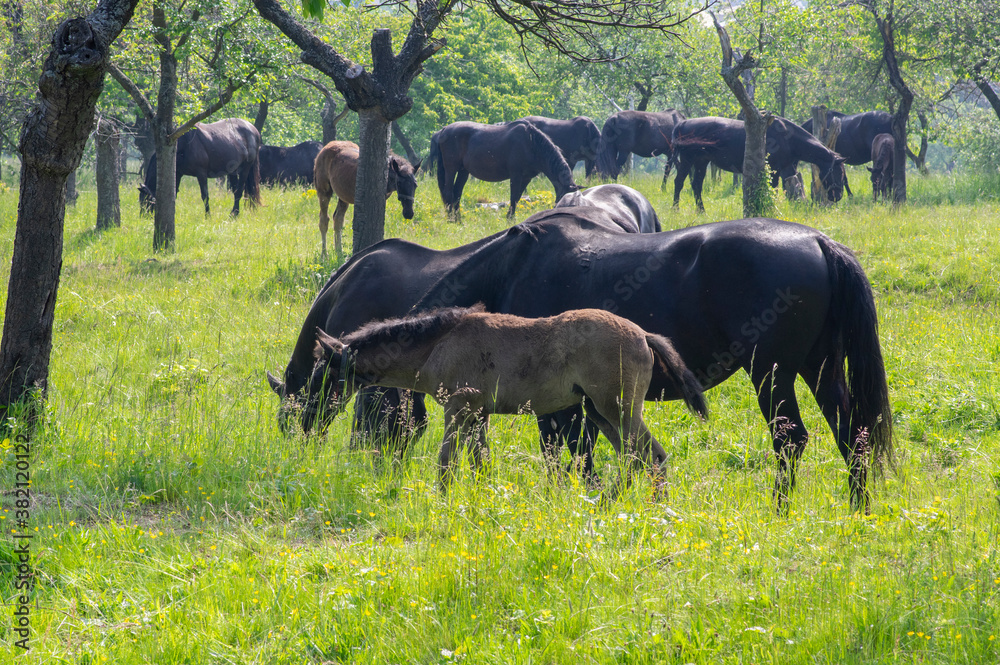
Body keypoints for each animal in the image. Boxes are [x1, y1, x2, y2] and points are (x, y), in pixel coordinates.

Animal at [305, 306, 707, 494]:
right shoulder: (478, 414)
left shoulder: (458, 409)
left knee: (650, 456)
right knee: (639, 457)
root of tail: (643, 334)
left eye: (324, 375)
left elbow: (447, 462)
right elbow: (480, 462)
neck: (438, 344)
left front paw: (442, 500)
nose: (309, 415)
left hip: (616, 408)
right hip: (599, 412)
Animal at [409, 210, 893, 514]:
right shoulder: (579, 403)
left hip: (772, 376)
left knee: (790, 440)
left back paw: (780, 510)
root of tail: (818, 240)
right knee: (852, 435)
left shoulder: (556, 405)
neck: (510, 270)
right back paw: (859, 508)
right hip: (820, 370)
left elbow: (567, 455)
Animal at [427, 120, 578, 220]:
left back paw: (459, 220)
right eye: (564, 199)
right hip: (451, 168)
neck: (532, 145)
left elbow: (517, 197)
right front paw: (510, 218)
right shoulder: (516, 175)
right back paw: (451, 219)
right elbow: (513, 196)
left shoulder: (526, 178)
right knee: (448, 192)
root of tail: (444, 130)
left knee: (457, 192)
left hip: (463, 171)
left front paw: (510, 217)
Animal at [670, 116, 847, 211]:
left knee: (696, 185)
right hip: (688, 160)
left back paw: (701, 211)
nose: (837, 196)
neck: (788, 139)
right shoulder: (774, 170)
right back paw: (675, 209)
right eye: (837, 172)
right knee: (679, 182)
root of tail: (683, 124)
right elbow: (774, 190)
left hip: (701, 162)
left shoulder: (787, 170)